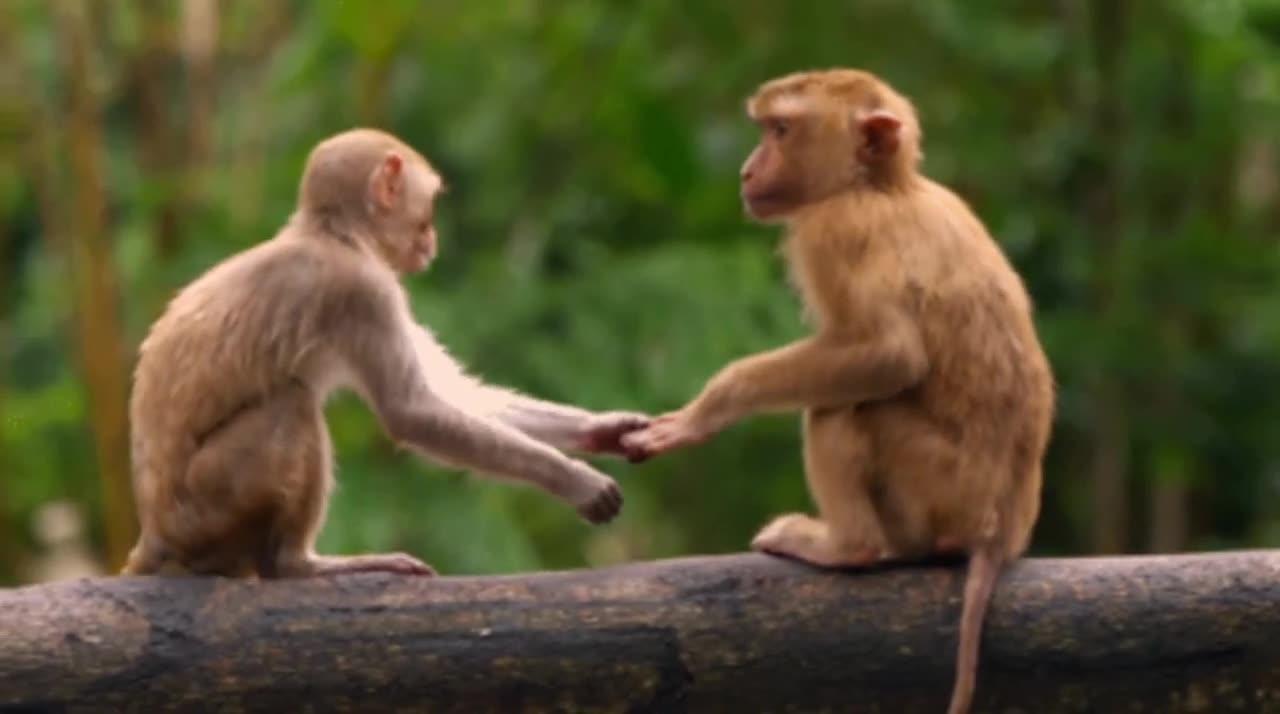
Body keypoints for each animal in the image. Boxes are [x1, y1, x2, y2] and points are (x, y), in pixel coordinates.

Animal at [123, 128, 650, 580]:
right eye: (429, 205)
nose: (432, 237)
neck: (334, 233)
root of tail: (154, 530)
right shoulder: (365, 292)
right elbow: (411, 411)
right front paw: (573, 479)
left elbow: (453, 393)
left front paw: (605, 429)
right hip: (205, 508)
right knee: (292, 402)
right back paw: (298, 565)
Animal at [623, 69, 1055, 714]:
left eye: (780, 130)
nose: (748, 170)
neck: (882, 186)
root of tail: (1000, 532)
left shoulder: (835, 230)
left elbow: (889, 354)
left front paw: (710, 408)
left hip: (939, 487)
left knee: (842, 410)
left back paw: (847, 547)